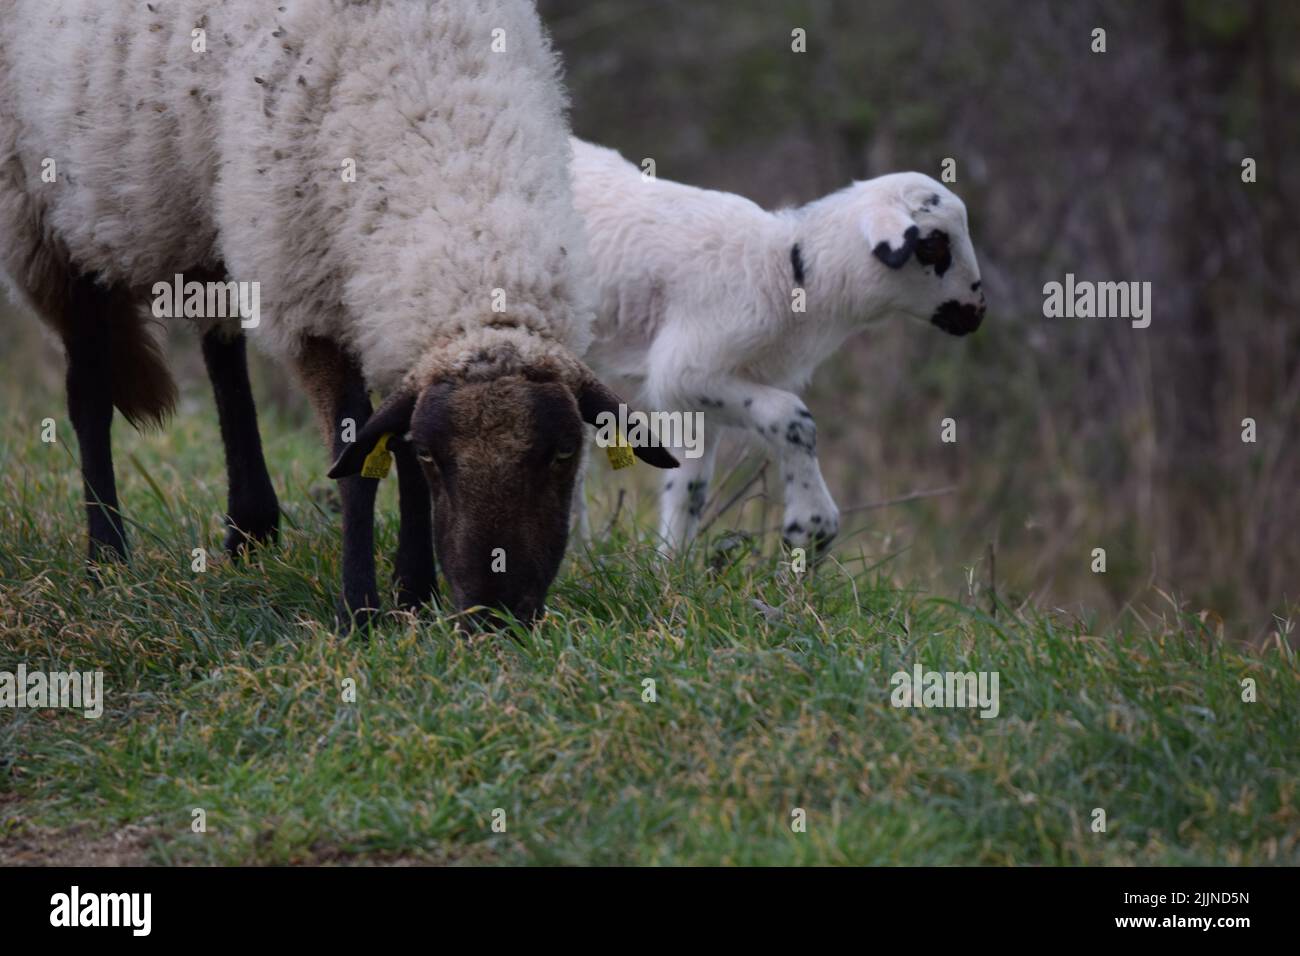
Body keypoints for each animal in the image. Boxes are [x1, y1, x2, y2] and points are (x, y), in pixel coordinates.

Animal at [0, 0, 676, 627]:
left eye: (563, 455)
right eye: (439, 460)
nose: (496, 619)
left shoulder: (384, 312)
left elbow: (389, 437)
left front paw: (414, 594)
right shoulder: (311, 300)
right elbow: (359, 457)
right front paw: (362, 611)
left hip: (211, 217)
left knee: (221, 351)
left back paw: (250, 529)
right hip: (45, 217)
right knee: (89, 391)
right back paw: (107, 560)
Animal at [569, 137, 986, 555]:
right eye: (933, 246)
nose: (977, 313)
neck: (786, 271)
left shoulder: (696, 398)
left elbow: (689, 486)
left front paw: (672, 564)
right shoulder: (685, 370)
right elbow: (792, 417)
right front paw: (812, 528)